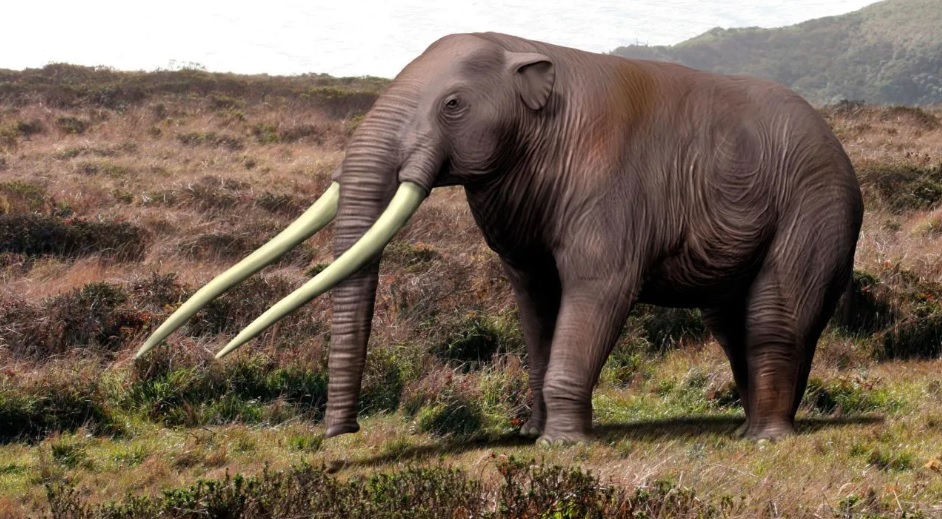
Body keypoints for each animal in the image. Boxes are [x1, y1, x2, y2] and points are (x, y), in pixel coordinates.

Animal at [136, 32, 864, 444]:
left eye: (453, 105)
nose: (342, 434)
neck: (533, 56)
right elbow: (535, 301)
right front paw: (535, 434)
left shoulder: (611, 192)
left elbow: (597, 289)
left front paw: (563, 447)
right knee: (733, 321)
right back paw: (756, 425)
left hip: (814, 209)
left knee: (774, 317)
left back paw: (766, 439)